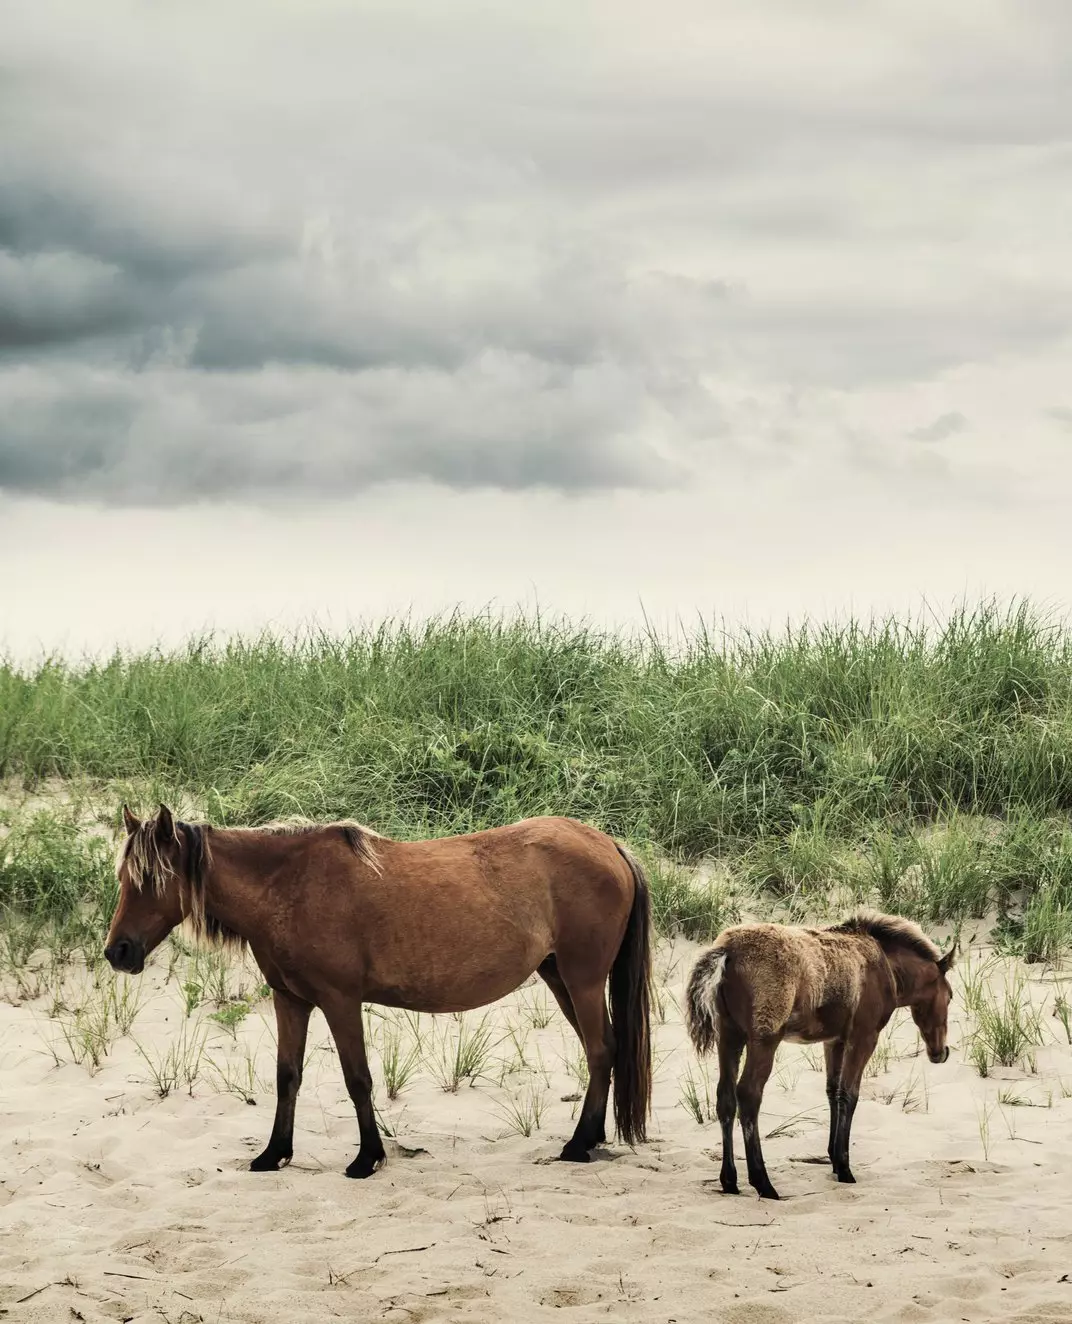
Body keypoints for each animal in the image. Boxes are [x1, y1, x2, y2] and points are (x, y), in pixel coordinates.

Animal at [104, 804, 651, 1181]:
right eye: (124, 877)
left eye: (152, 879)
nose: (118, 952)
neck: (289, 886)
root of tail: (609, 846)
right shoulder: (290, 1000)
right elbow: (286, 1077)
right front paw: (274, 1153)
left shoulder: (340, 1001)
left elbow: (357, 1079)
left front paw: (367, 1158)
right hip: (560, 978)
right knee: (602, 1051)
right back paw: (591, 1138)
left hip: (581, 980)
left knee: (600, 1050)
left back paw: (578, 1144)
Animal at [682, 910, 952, 1202]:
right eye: (950, 997)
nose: (940, 1053)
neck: (885, 965)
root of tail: (727, 950)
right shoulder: (864, 1037)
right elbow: (849, 1094)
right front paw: (844, 1168)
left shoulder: (834, 1040)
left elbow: (832, 1091)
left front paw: (833, 1159)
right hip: (764, 1040)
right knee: (749, 1095)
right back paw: (763, 1183)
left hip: (729, 1036)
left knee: (725, 1098)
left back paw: (729, 1180)